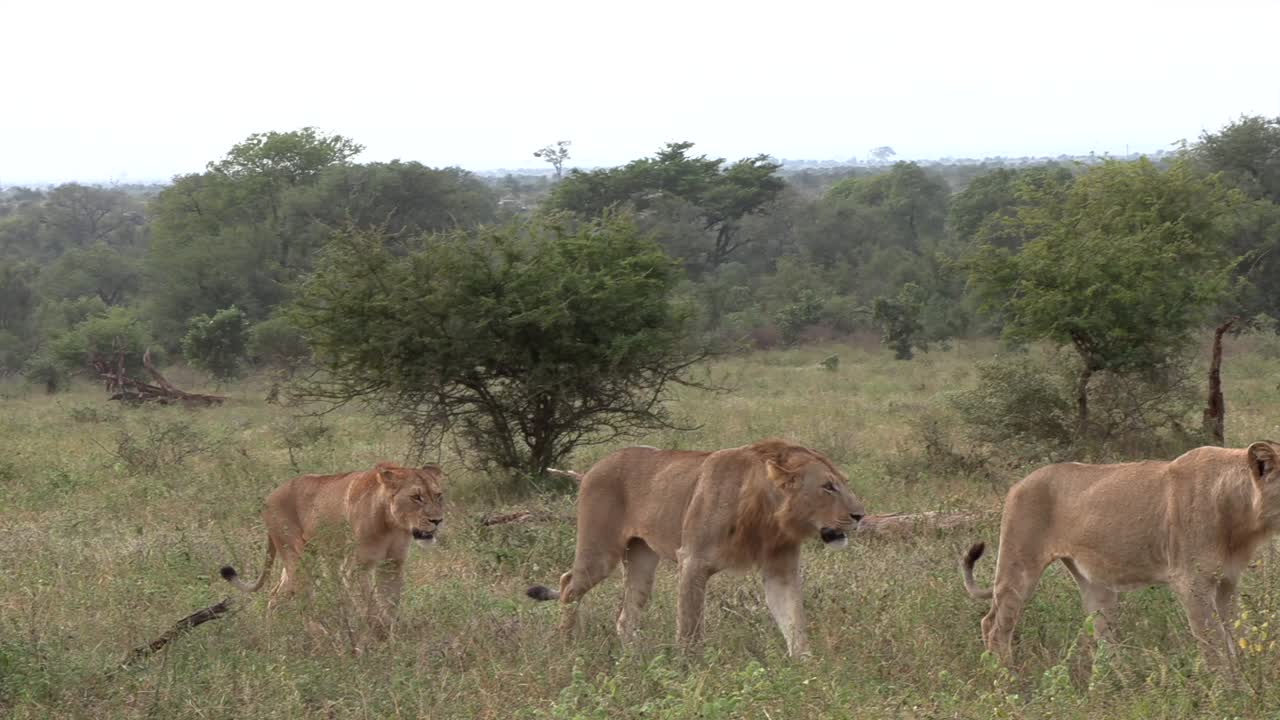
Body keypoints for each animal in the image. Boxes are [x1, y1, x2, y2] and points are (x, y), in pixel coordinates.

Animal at [220, 462, 445, 636]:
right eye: (416, 497)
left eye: (438, 495)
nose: (437, 521)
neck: (392, 525)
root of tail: (268, 497)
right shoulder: (354, 568)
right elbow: (370, 604)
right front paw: (380, 632)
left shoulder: (392, 564)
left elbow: (390, 601)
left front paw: (394, 633)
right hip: (299, 557)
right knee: (303, 597)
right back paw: (319, 634)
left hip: (298, 558)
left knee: (277, 593)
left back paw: (272, 632)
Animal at [526, 439, 865, 657]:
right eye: (827, 487)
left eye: (844, 483)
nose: (860, 515)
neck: (769, 516)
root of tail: (593, 467)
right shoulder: (692, 561)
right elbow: (690, 627)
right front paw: (687, 671)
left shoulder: (780, 569)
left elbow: (794, 621)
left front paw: (807, 672)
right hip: (600, 551)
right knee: (568, 584)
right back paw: (566, 644)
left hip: (641, 560)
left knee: (625, 616)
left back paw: (635, 658)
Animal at [961, 442, 1280, 668]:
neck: (1243, 521)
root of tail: (1018, 483)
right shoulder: (1191, 582)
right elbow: (1214, 643)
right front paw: (1229, 691)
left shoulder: (1228, 581)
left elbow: (1237, 635)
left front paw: (1251, 676)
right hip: (1019, 565)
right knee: (993, 625)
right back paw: (1006, 681)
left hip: (1094, 583)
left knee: (1102, 636)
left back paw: (1113, 683)